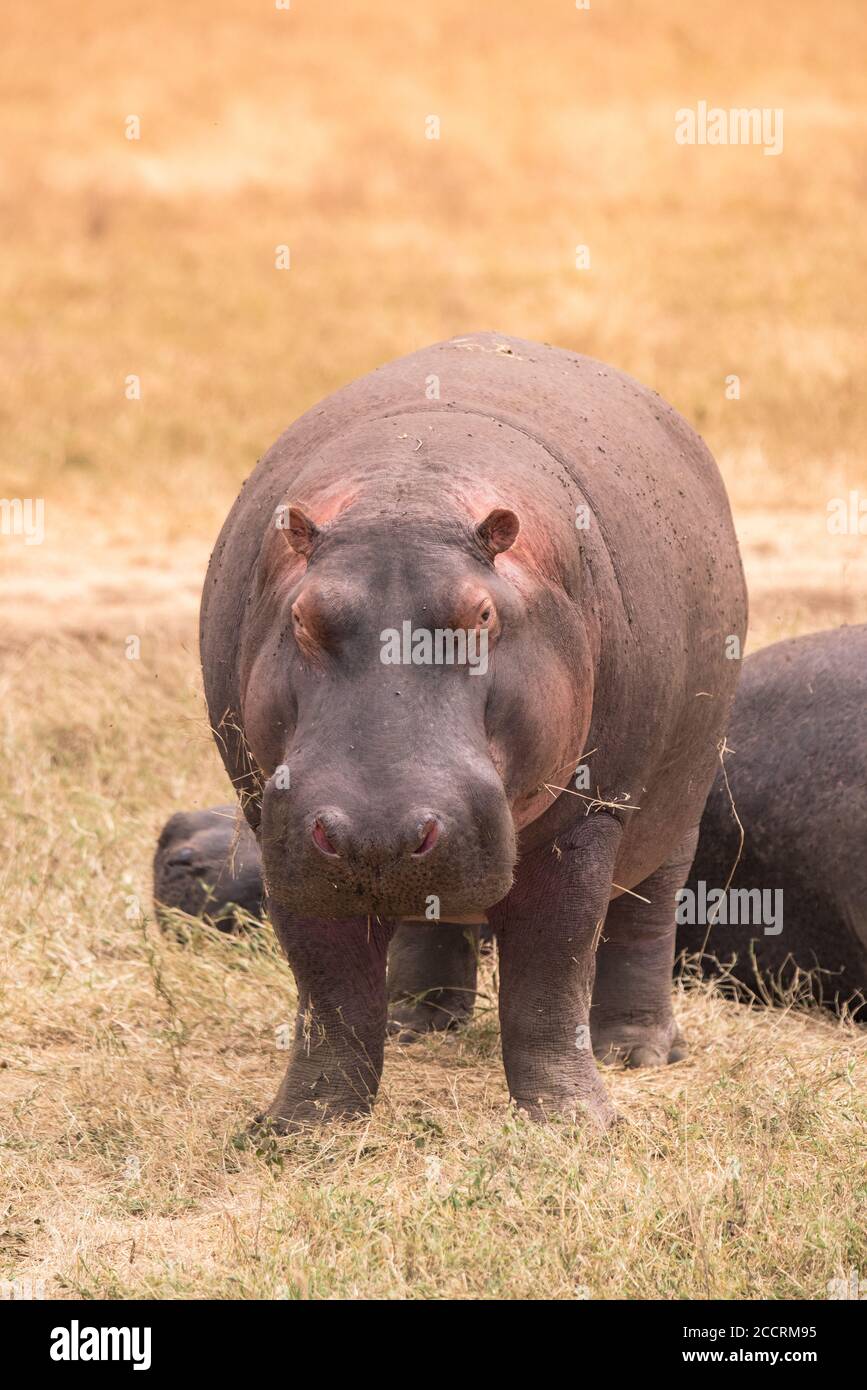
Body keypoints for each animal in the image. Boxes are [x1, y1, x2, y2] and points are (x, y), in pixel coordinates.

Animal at [200, 331, 747, 1130]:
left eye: (482, 615)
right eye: (302, 617)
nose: (377, 833)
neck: (411, 489)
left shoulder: (585, 815)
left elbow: (551, 971)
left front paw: (573, 1120)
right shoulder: (283, 827)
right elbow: (328, 985)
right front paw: (304, 1125)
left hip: (679, 799)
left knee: (645, 918)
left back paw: (637, 1050)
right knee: (428, 924)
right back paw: (418, 1024)